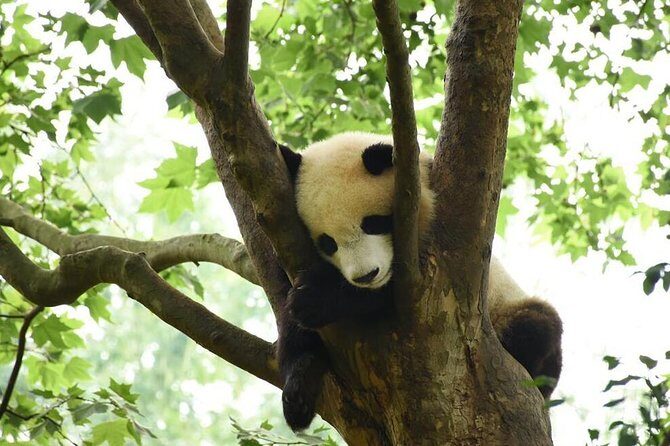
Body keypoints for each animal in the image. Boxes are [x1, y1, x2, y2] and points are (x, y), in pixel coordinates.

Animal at [276, 132, 563, 431]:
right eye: (327, 242)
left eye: (373, 223)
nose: (366, 276)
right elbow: (291, 316)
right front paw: (299, 381)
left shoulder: (433, 251)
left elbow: (390, 293)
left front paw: (317, 298)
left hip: (506, 305)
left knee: (537, 325)